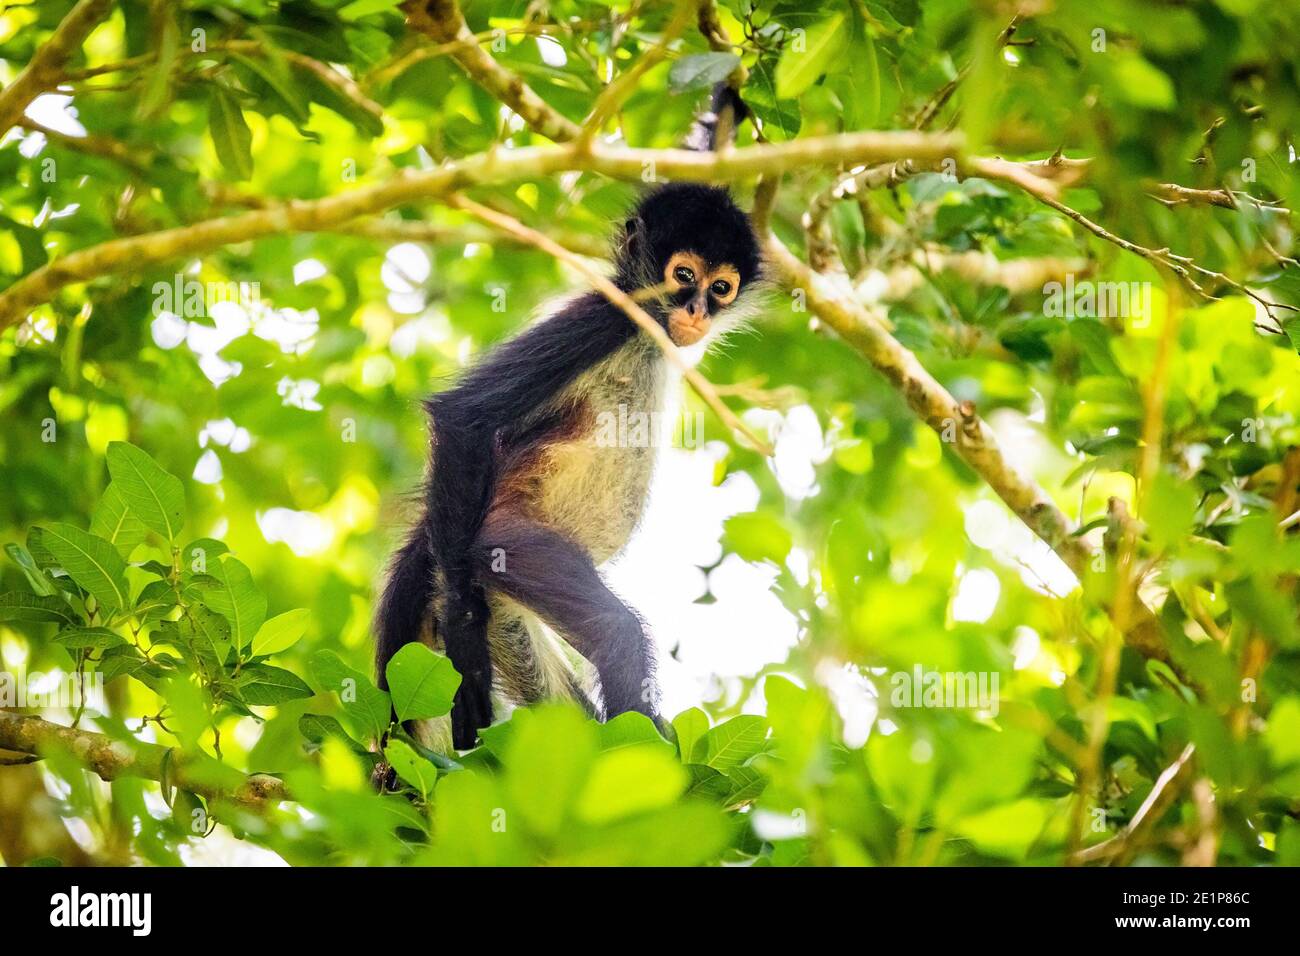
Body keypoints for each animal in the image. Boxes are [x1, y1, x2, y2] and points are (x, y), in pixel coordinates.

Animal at [374, 89, 762, 752]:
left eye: (720, 288)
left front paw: (723, 108)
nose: (694, 311)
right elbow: (464, 415)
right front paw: (466, 651)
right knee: (615, 631)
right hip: (503, 541)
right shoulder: (609, 315)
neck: (651, 336)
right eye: (683, 276)